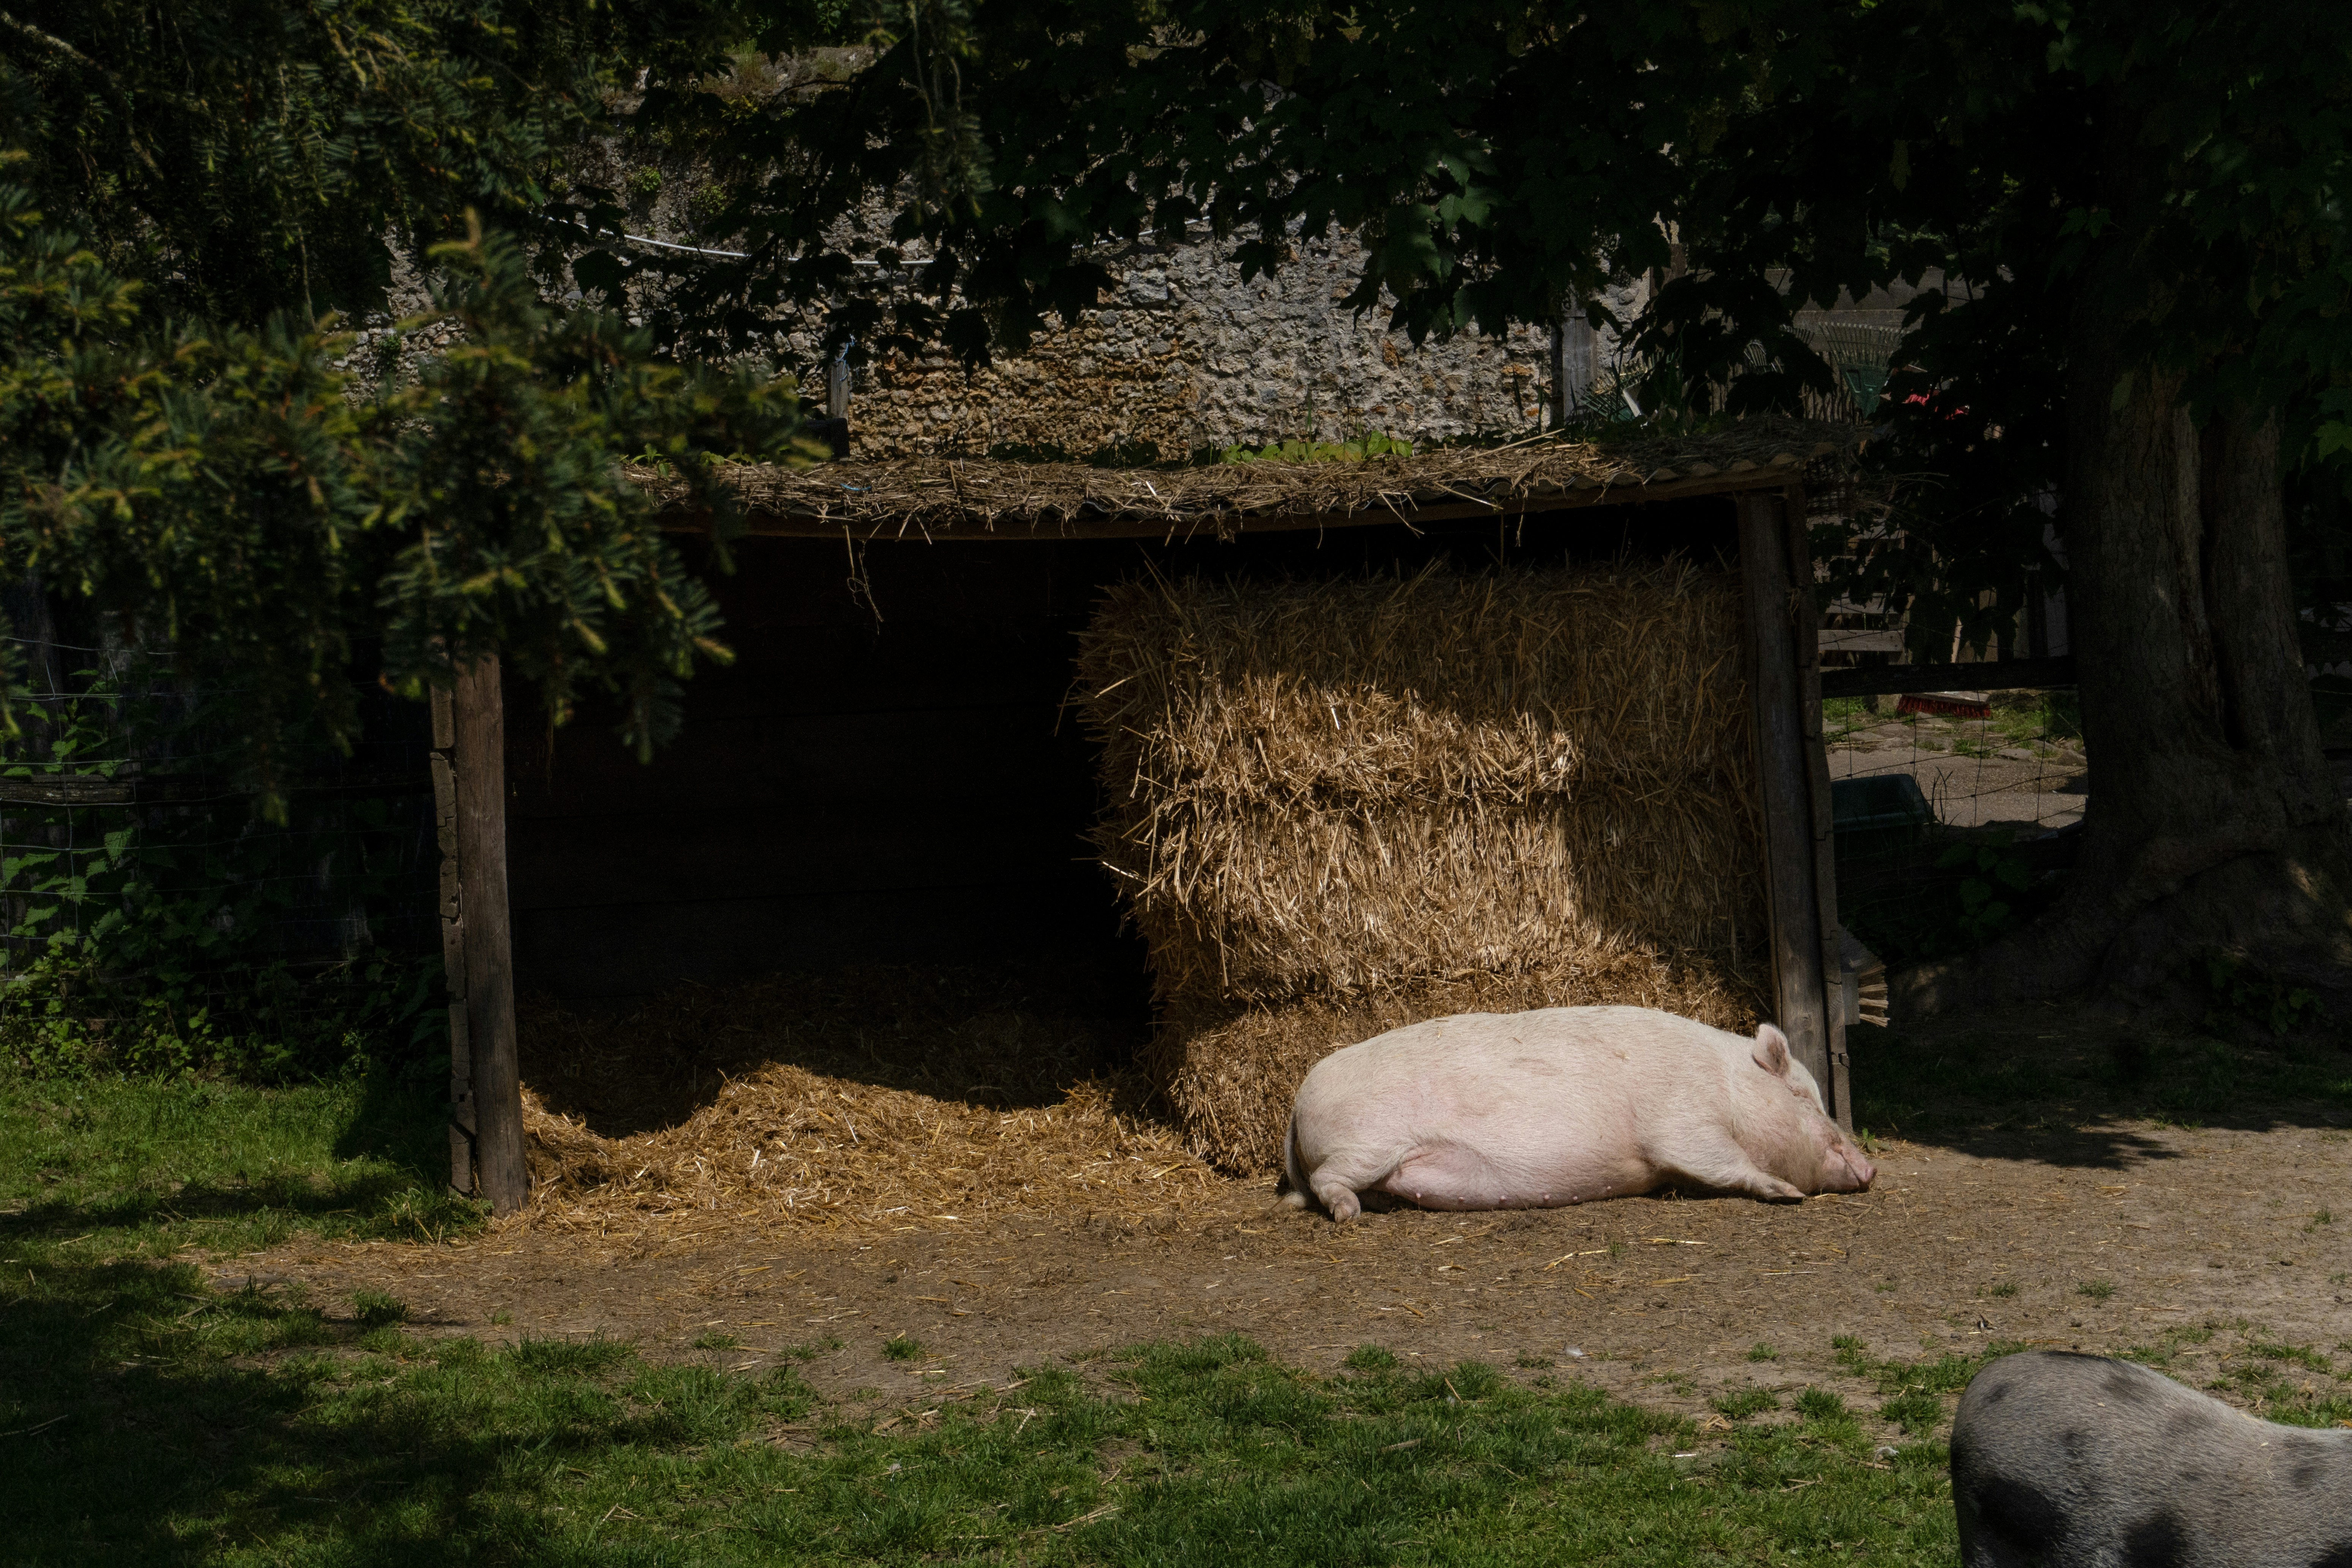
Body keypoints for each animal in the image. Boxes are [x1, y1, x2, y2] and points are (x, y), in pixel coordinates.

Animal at [1280, 1005, 1874, 1221]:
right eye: (1804, 1097)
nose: (1871, 1168)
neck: (1725, 1087)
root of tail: (1297, 1101)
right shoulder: (1680, 1124)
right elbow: (1723, 1159)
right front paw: (1789, 1194)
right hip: (1365, 1143)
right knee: (1330, 1180)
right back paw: (1349, 1215)